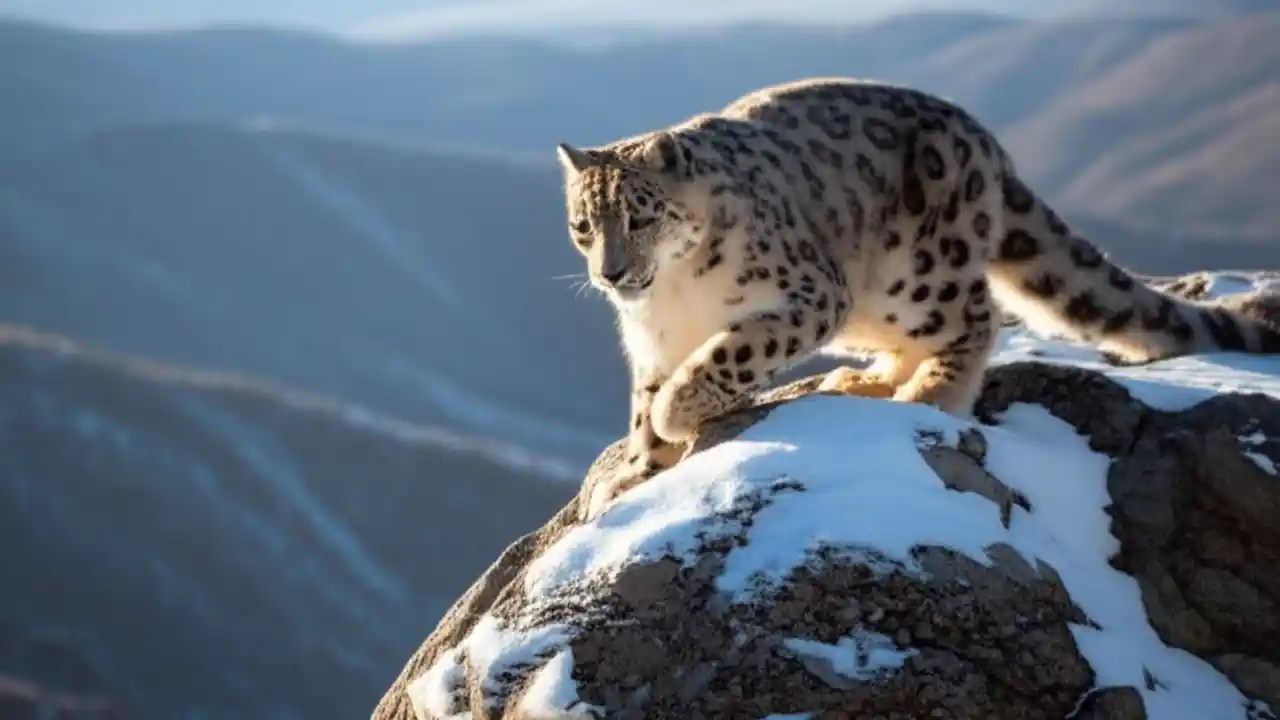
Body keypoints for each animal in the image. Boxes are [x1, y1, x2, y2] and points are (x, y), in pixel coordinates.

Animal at [554, 77, 1280, 520]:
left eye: (642, 216)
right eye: (583, 225)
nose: (612, 275)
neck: (674, 298)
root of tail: (984, 138)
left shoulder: (807, 292)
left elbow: (728, 356)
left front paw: (678, 415)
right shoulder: (652, 343)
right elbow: (644, 403)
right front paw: (637, 470)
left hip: (916, 273)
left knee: (976, 316)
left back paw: (930, 393)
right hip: (873, 303)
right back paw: (863, 380)